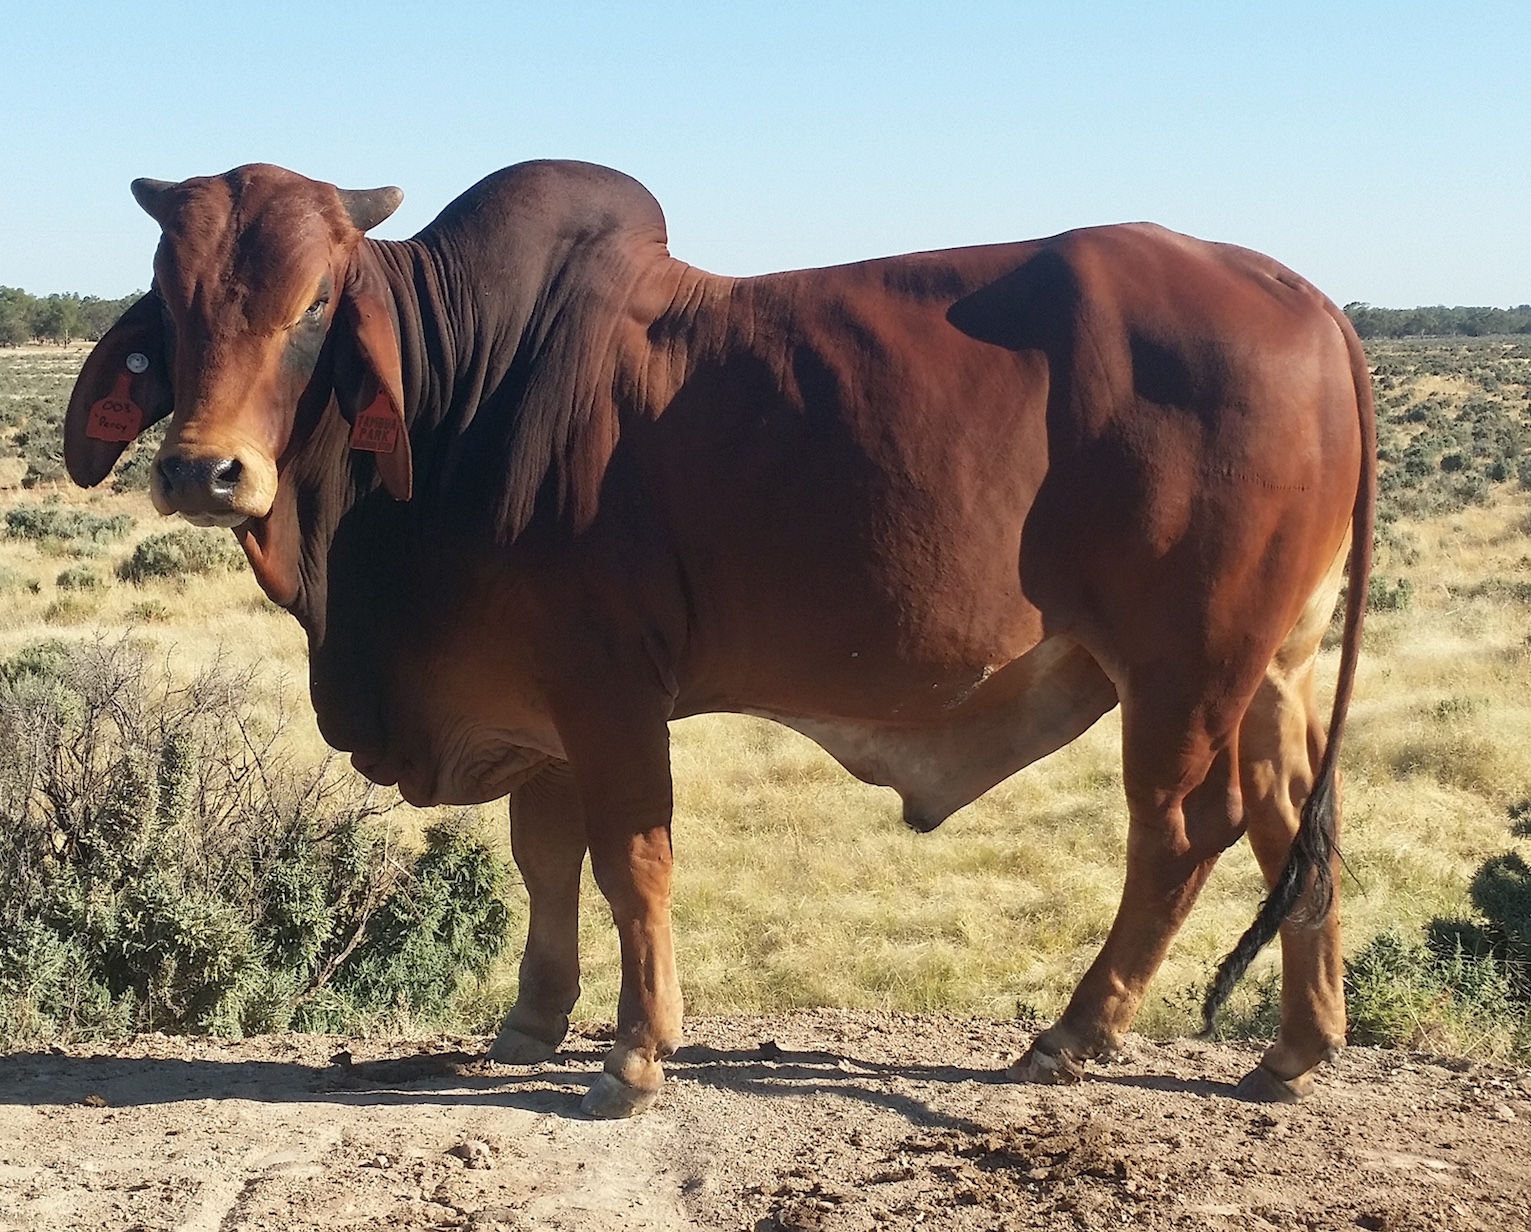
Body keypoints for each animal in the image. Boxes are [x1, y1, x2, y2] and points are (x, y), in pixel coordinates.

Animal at [65, 161, 1374, 1119]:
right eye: (173, 306)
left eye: (314, 308)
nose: (202, 470)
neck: (463, 394)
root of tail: (1307, 295)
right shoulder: (535, 698)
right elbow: (545, 858)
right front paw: (532, 1018)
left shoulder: (606, 687)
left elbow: (630, 858)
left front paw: (635, 1053)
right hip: (1275, 665)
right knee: (1291, 822)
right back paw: (1293, 1049)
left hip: (1182, 664)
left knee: (1183, 831)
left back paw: (1075, 1031)